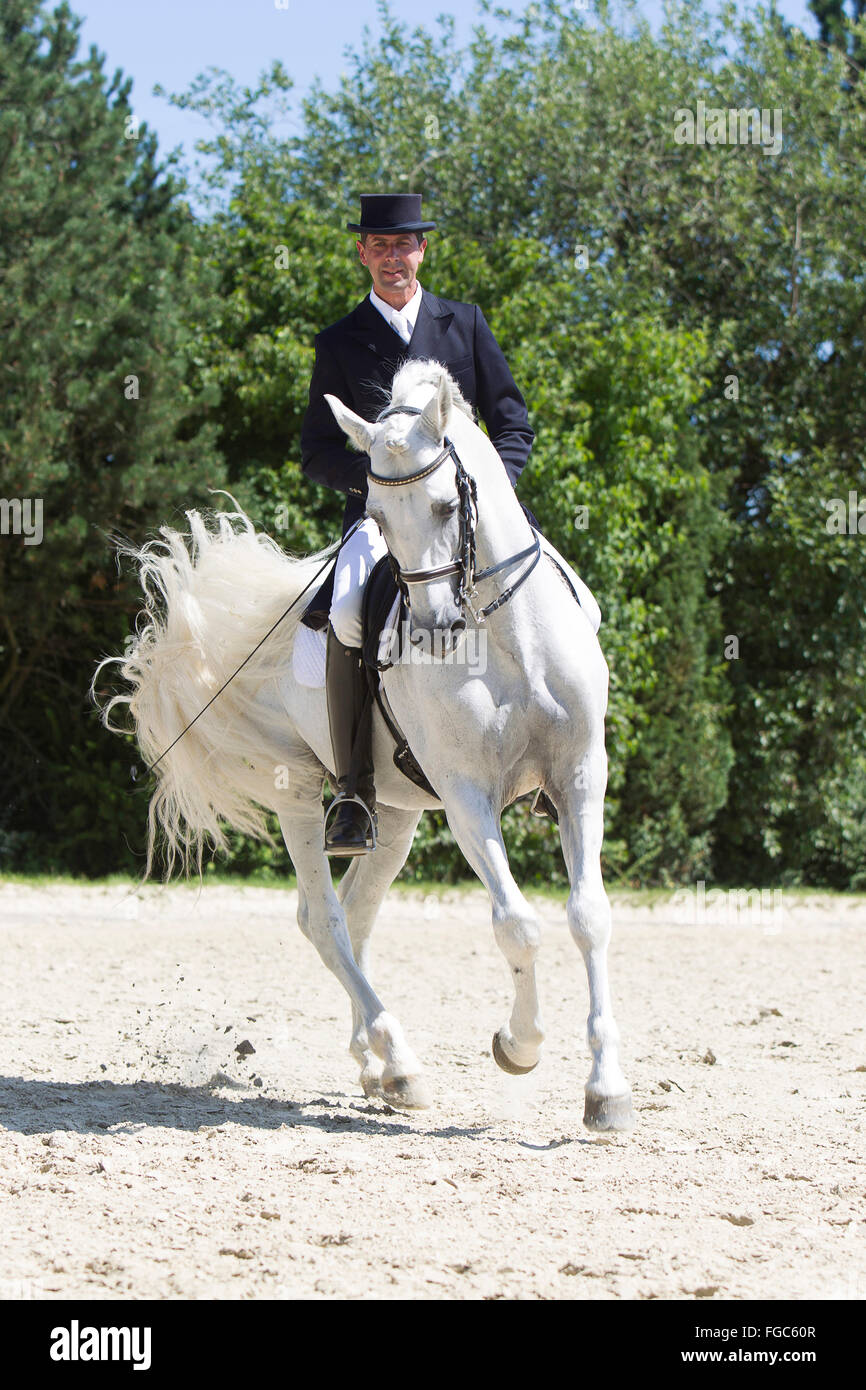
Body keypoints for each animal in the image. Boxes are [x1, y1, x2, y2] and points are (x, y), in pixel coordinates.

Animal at [96, 358, 634, 1131]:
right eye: (376, 517)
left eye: (445, 505)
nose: (435, 631)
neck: (506, 638)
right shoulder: (467, 796)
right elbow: (517, 923)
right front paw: (519, 1045)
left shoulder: (581, 776)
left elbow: (589, 917)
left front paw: (606, 1090)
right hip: (297, 788)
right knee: (323, 921)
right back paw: (401, 1061)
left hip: (399, 813)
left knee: (355, 914)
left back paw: (377, 1065)